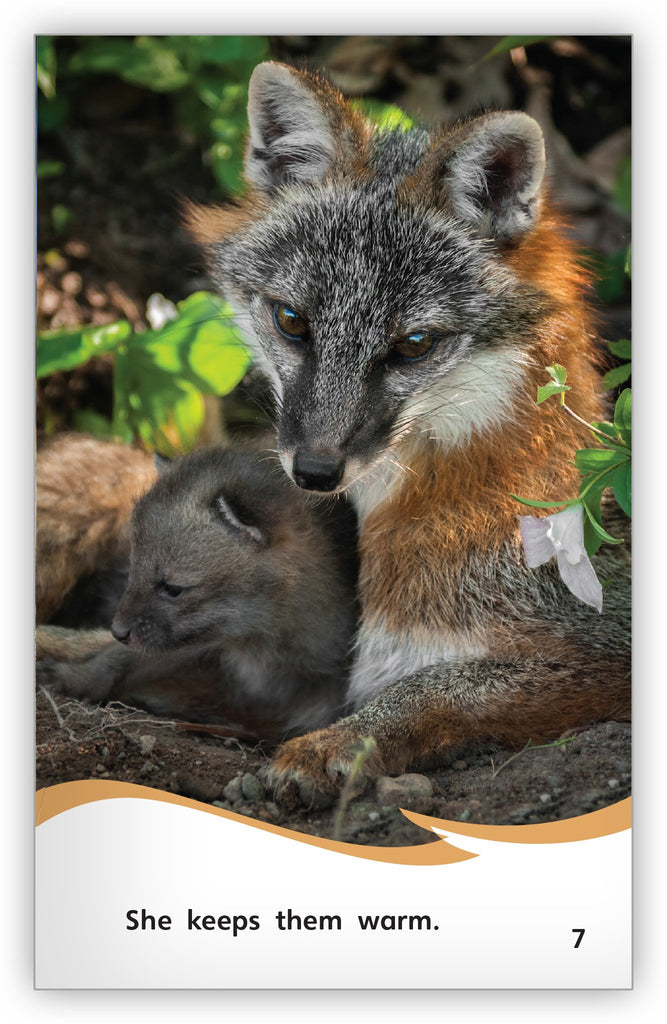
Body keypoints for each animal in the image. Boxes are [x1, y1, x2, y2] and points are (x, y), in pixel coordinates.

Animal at [37, 443, 358, 742]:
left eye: (173, 589)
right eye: (134, 569)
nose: (117, 631)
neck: (261, 646)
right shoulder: (197, 640)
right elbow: (116, 660)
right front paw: (75, 679)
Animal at [178, 61, 631, 798]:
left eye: (414, 345)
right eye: (292, 321)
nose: (314, 472)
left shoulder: (606, 651)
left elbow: (438, 687)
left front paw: (338, 742)